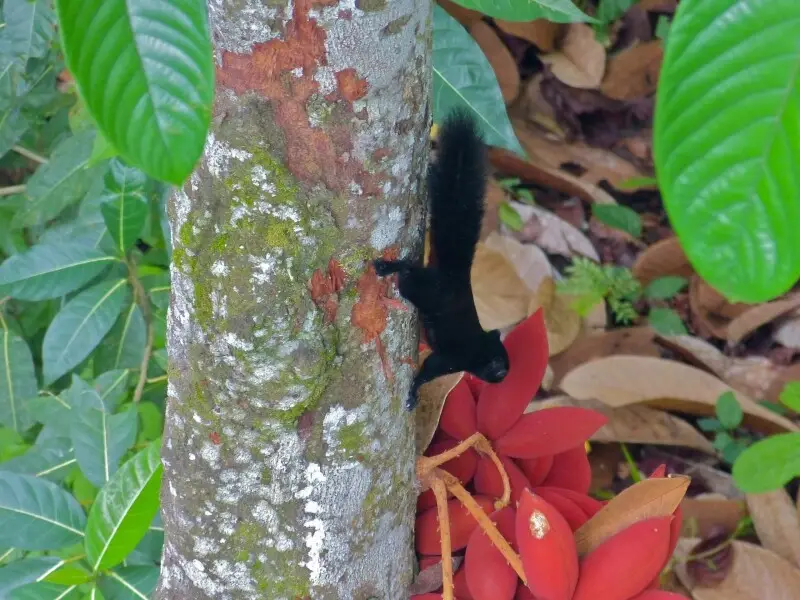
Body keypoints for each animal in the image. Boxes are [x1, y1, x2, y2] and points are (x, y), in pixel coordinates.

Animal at [374, 109, 510, 411]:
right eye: (500, 370)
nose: (501, 379)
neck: (480, 347)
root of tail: (453, 275)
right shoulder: (451, 360)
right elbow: (427, 372)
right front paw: (414, 392)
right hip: (423, 290)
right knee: (406, 273)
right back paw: (387, 267)